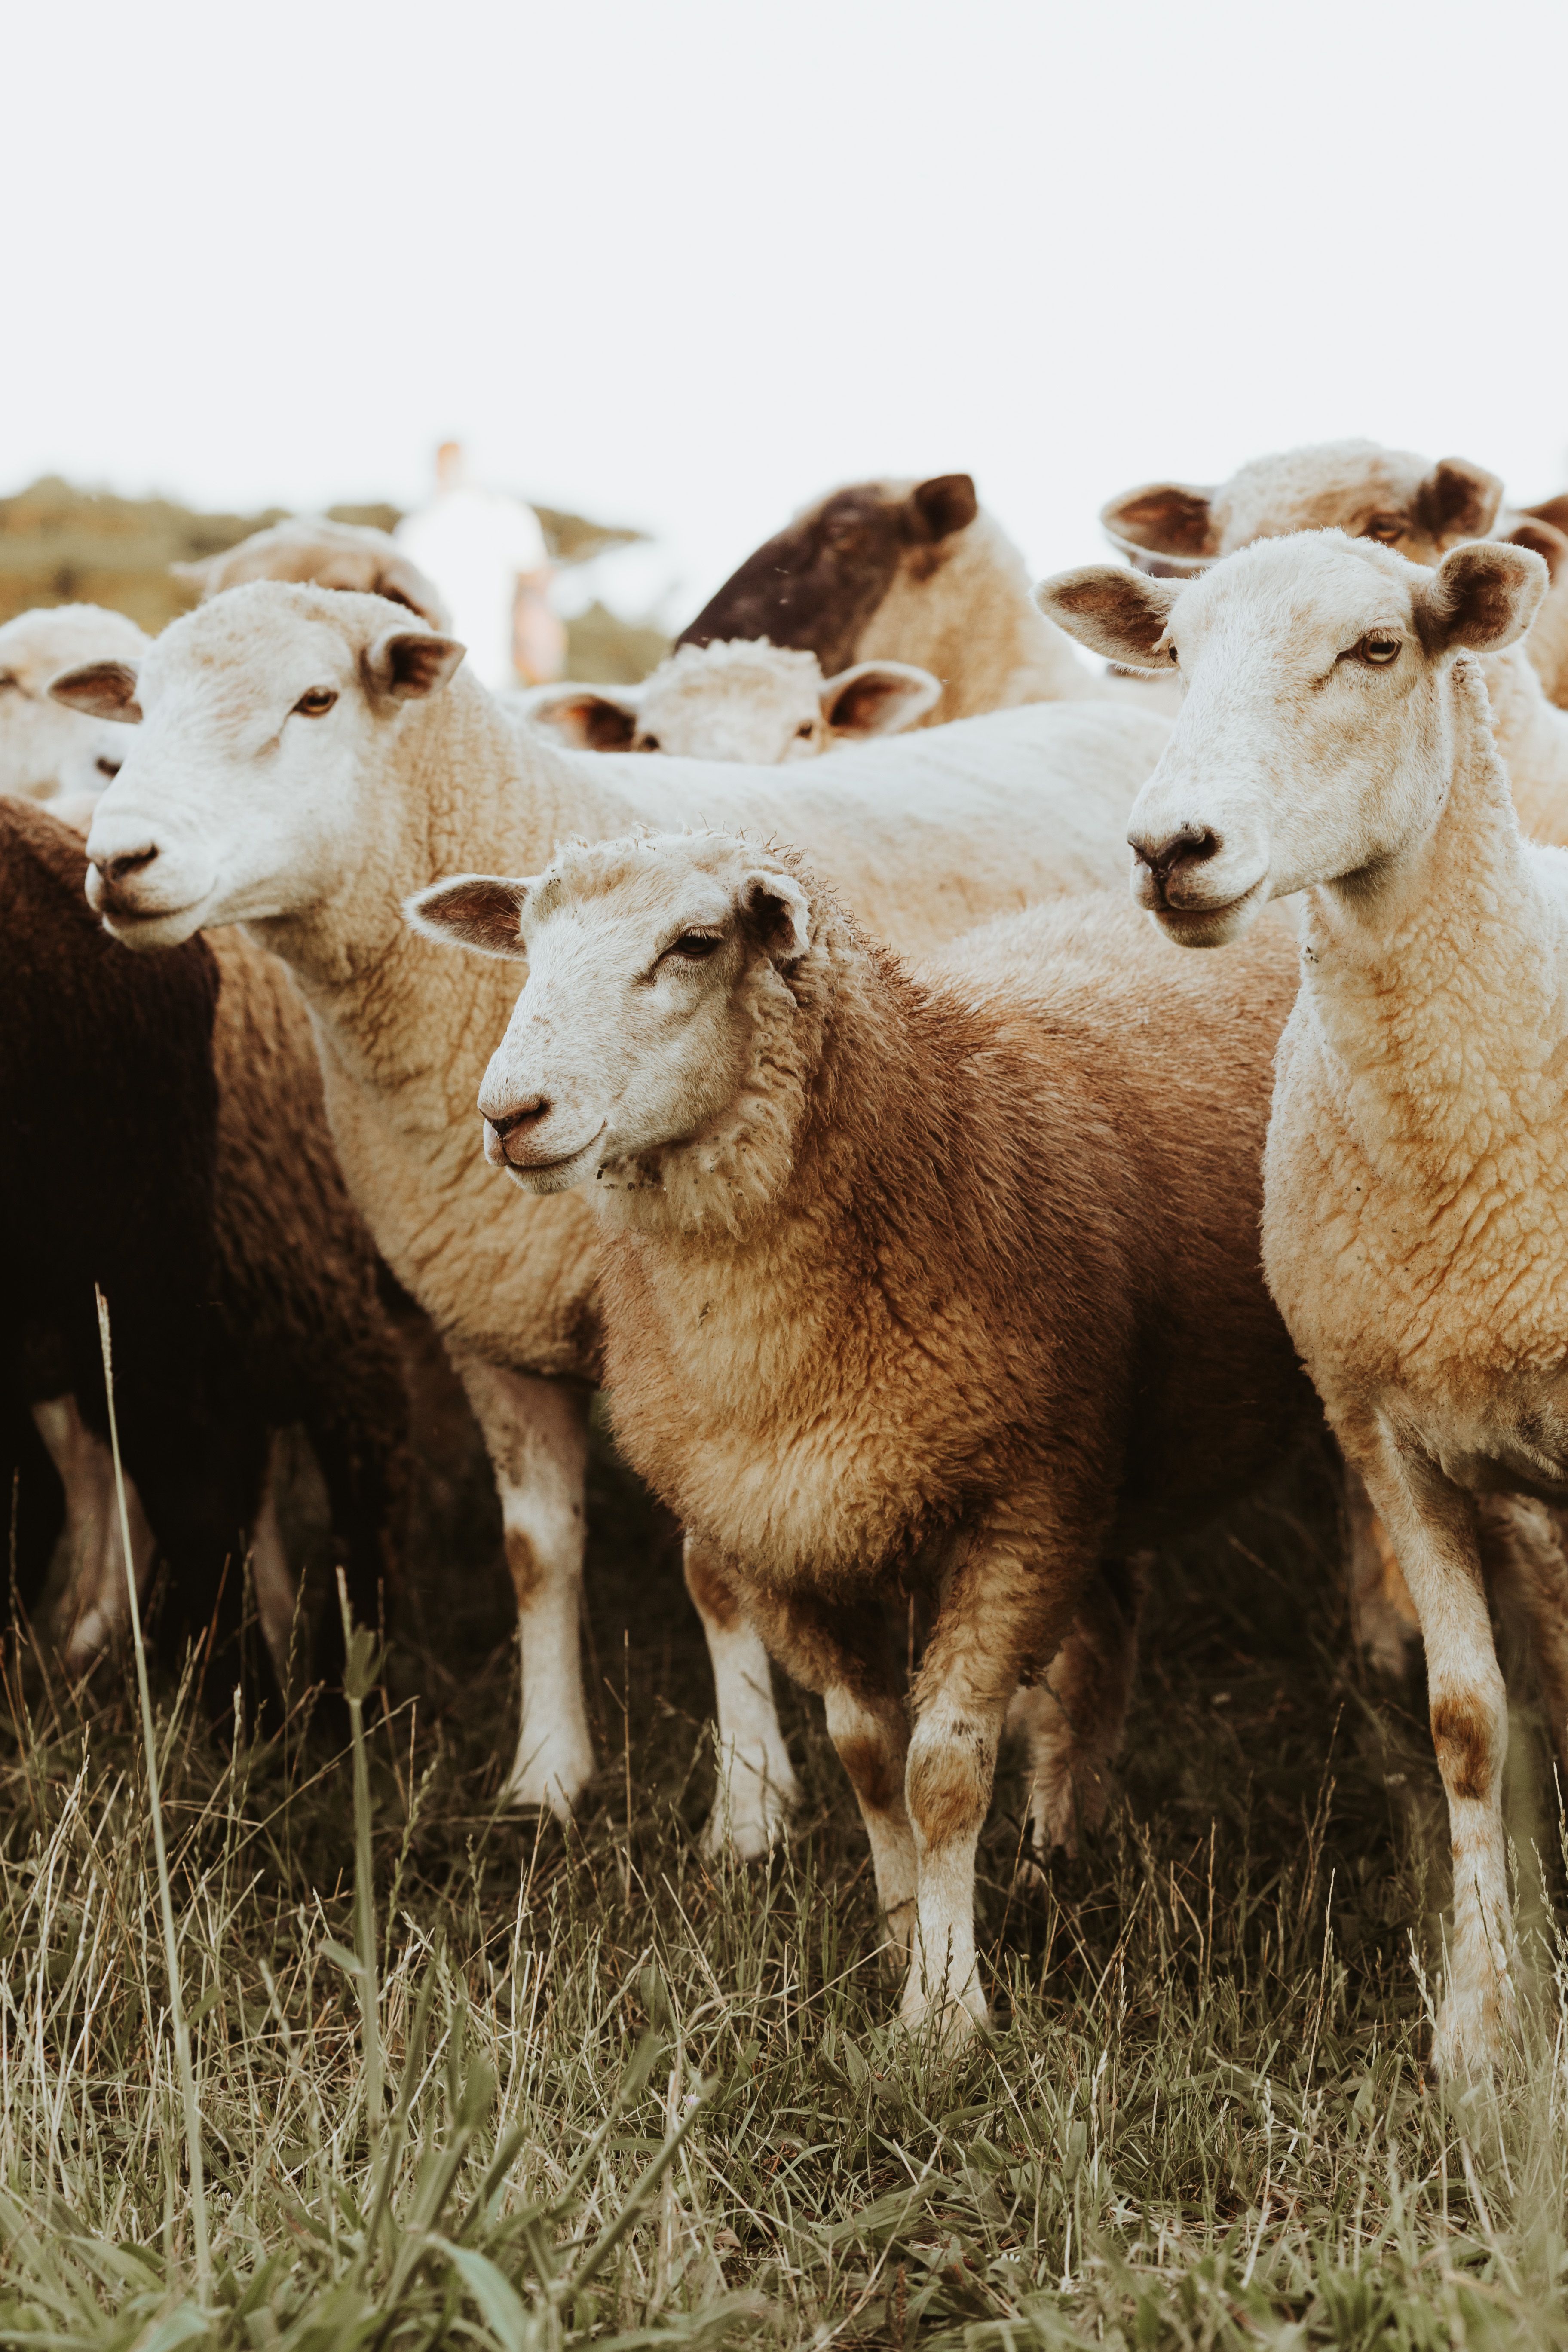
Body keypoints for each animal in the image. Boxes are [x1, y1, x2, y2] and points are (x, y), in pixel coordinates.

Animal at [406, 833, 1311, 2039]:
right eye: (530, 941)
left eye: (696, 943)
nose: (509, 1113)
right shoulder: (782, 1533)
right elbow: (870, 1757)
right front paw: (899, 1937)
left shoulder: (1017, 1512)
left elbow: (944, 1772)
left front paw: (947, 2017)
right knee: (1106, 1635)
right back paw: (1064, 1839)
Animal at [1039, 526, 1568, 2074]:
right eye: (1176, 652)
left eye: (1377, 649)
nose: (1169, 850)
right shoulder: (1382, 1425)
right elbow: (1467, 1723)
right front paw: (1480, 2025)